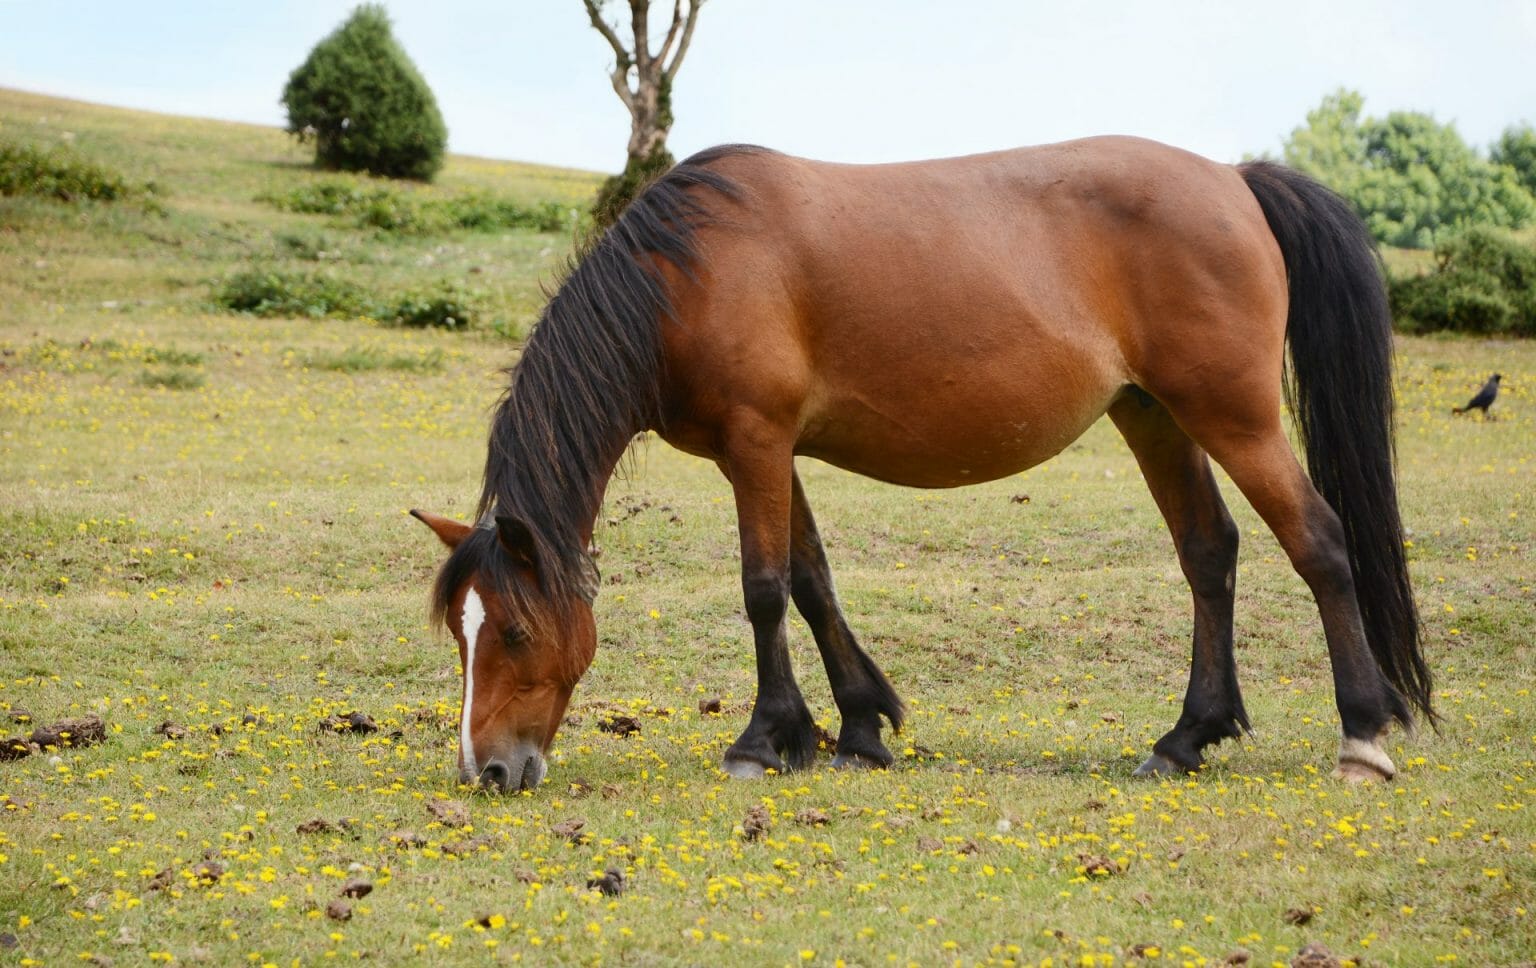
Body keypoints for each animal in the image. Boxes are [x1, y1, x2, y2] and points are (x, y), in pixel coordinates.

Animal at [411, 136, 1434, 793]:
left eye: (512, 632)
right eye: (460, 633)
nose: (488, 770)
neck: (687, 277)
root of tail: (1234, 179)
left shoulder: (755, 444)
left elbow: (765, 588)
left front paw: (763, 740)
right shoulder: (774, 452)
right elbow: (814, 582)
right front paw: (856, 727)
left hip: (1234, 415)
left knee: (1320, 544)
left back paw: (1361, 737)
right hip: (1155, 416)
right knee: (1209, 552)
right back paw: (1186, 738)